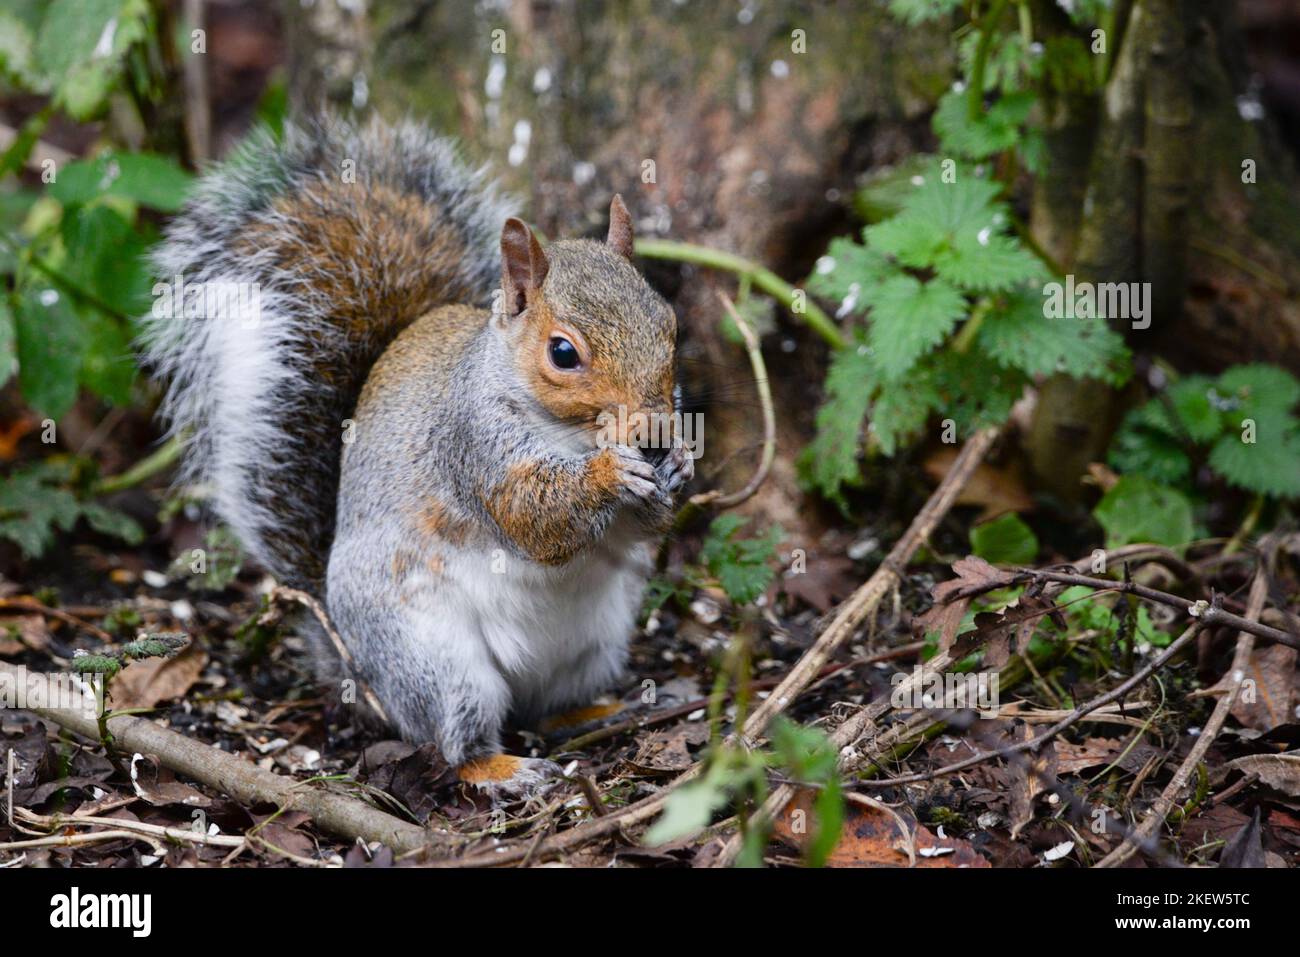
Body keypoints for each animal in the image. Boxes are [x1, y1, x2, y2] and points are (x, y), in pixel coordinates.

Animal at [142, 115, 693, 792]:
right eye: (563, 353)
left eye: (669, 325)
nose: (656, 433)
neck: (568, 433)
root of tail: (356, 666)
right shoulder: (471, 442)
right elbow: (532, 519)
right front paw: (610, 473)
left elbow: (643, 529)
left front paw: (679, 465)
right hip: (436, 659)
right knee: (456, 737)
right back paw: (504, 767)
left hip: (593, 645)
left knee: (546, 707)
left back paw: (601, 709)